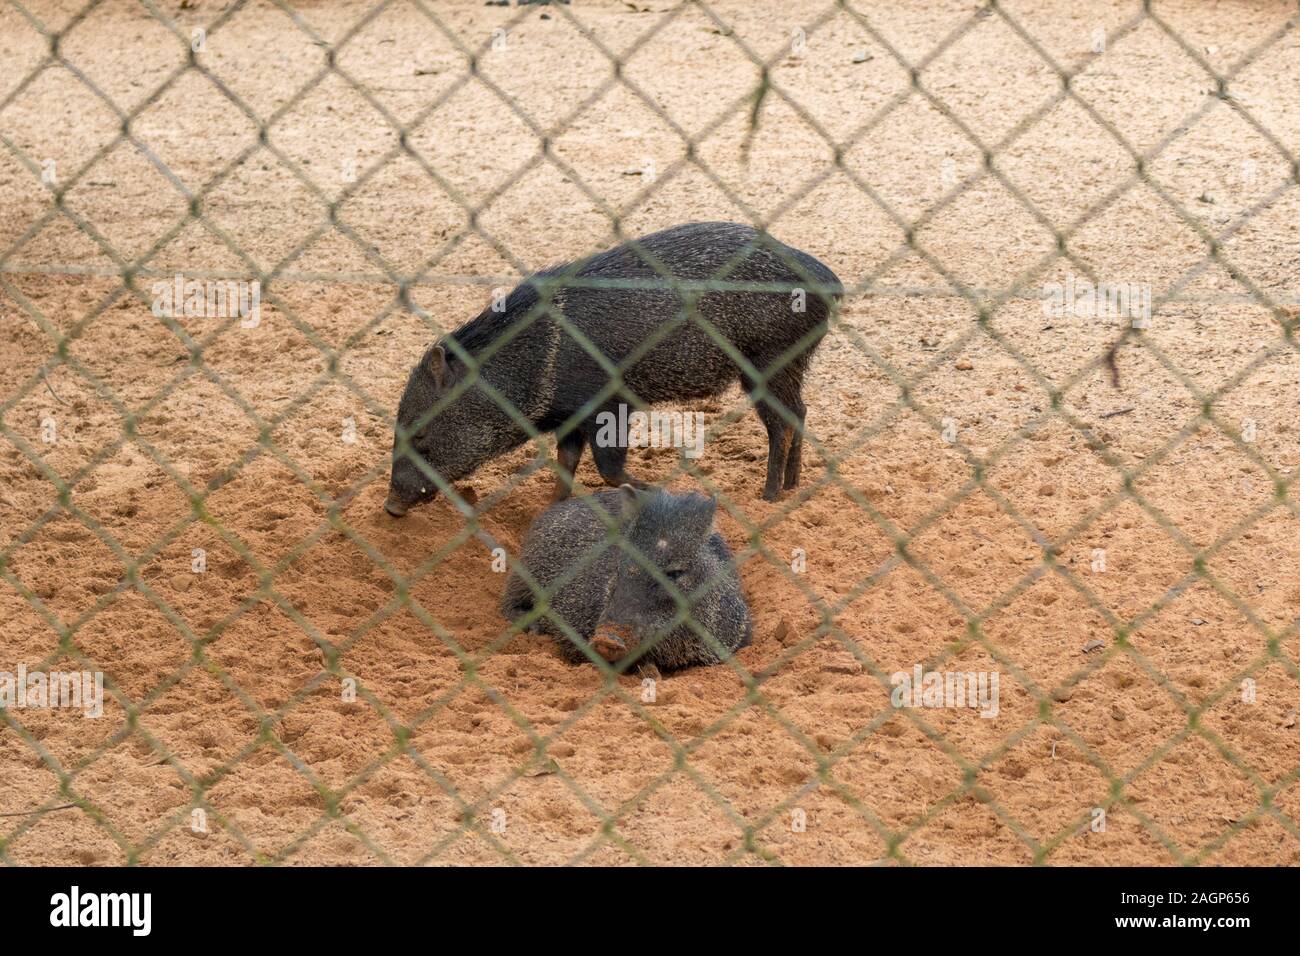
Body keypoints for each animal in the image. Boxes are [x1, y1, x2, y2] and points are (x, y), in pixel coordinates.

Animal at [385, 221, 841, 516]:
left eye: (420, 434)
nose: (390, 508)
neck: (541, 360)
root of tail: (828, 281)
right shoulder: (570, 417)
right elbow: (566, 467)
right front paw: (549, 512)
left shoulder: (612, 403)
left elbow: (608, 470)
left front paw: (654, 490)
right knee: (799, 413)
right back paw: (792, 487)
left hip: (768, 360)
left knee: (781, 424)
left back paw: (769, 496)